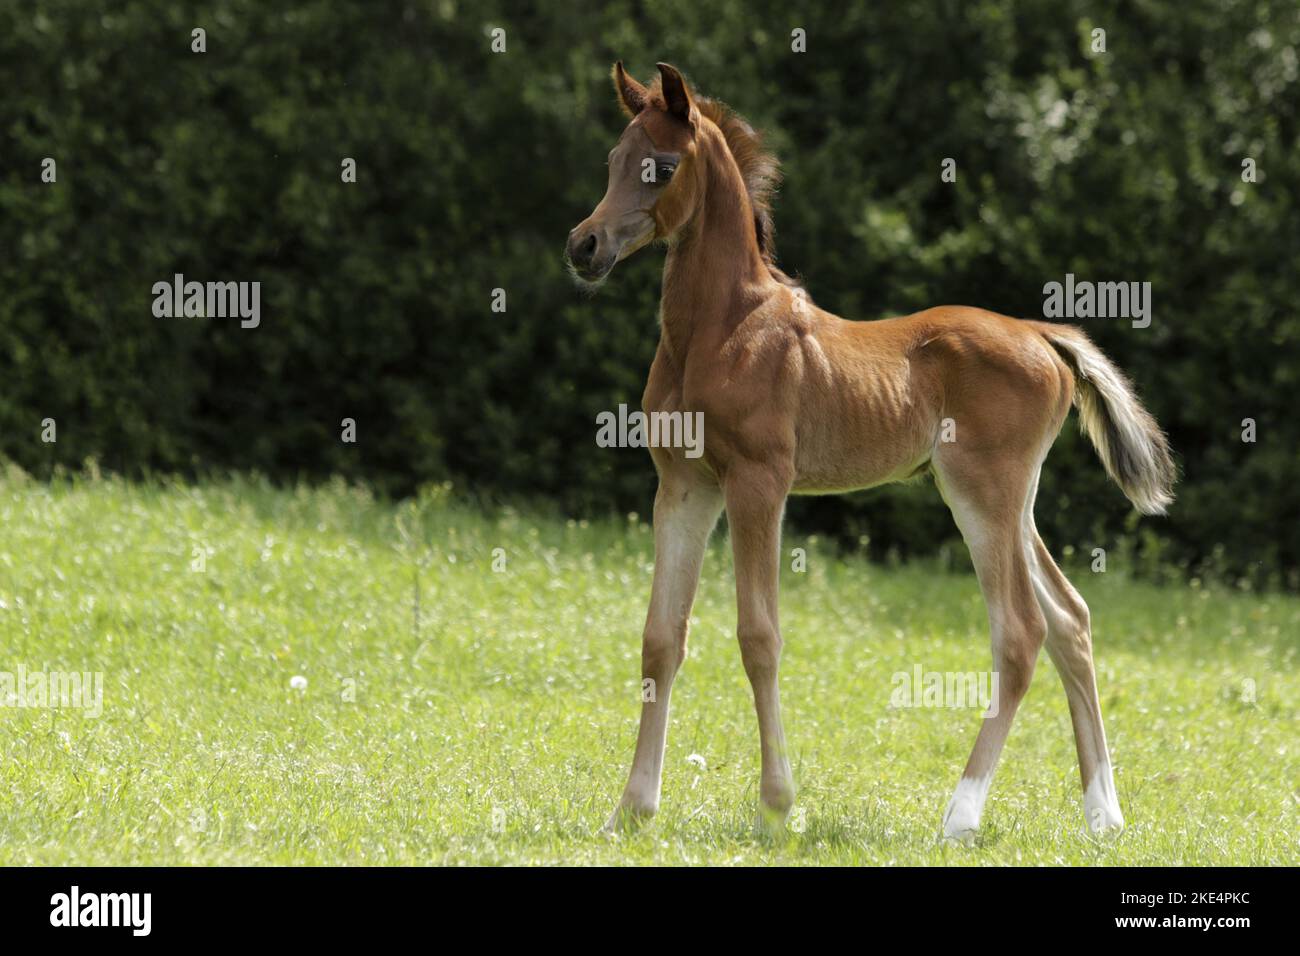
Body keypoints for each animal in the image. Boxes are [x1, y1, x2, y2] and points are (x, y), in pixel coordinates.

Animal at [566, 62, 1175, 841]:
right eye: (614, 161)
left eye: (662, 167)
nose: (584, 247)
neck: (722, 329)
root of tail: (1043, 335)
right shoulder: (682, 485)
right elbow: (660, 637)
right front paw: (632, 810)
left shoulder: (758, 482)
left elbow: (758, 636)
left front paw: (777, 805)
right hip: (1015, 503)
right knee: (1071, 618)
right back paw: (1103, 814)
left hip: (982, 494)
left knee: (1021, 631)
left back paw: (960, 815)